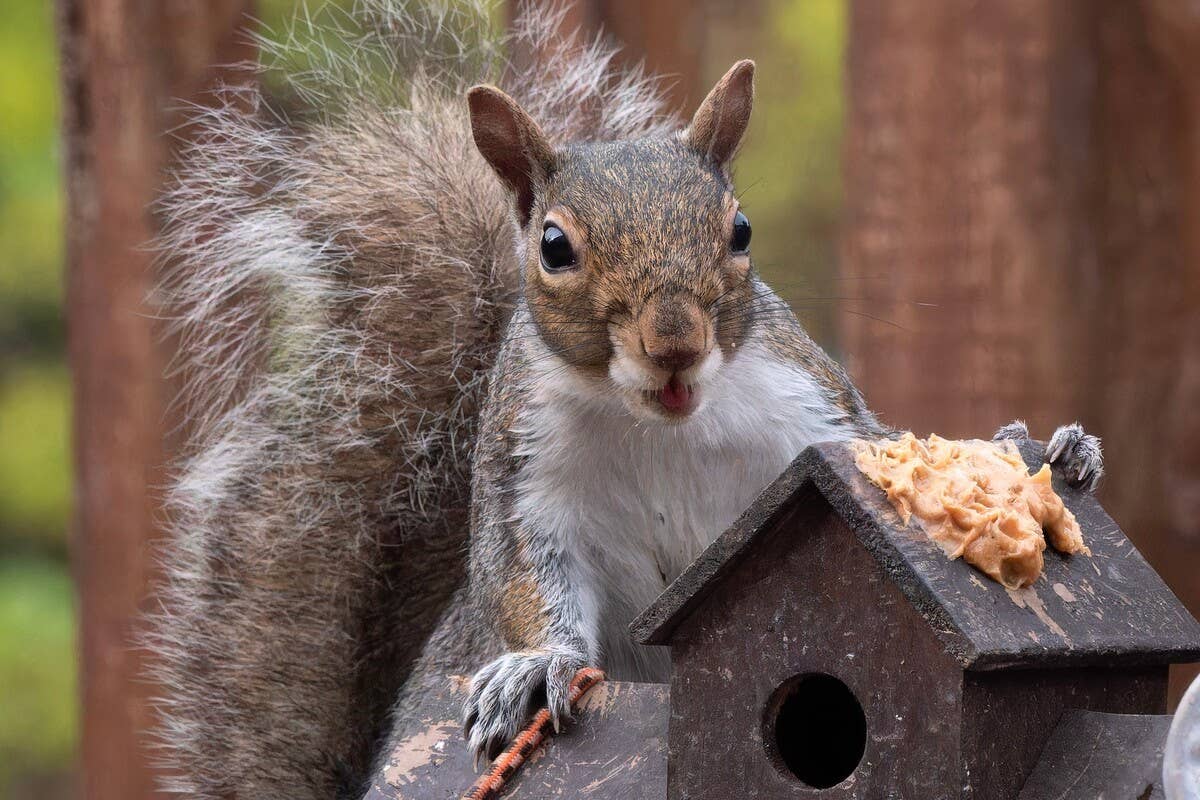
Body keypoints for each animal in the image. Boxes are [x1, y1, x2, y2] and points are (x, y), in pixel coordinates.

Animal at [149, 3, 1105, 799]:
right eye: (554, 246)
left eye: (741, 230)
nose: (673, 342)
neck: (663, 428)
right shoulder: (523, 478)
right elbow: (522, 579)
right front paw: (535, 667)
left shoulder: (813, 412)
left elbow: (883, 438)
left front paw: (1048, 449)